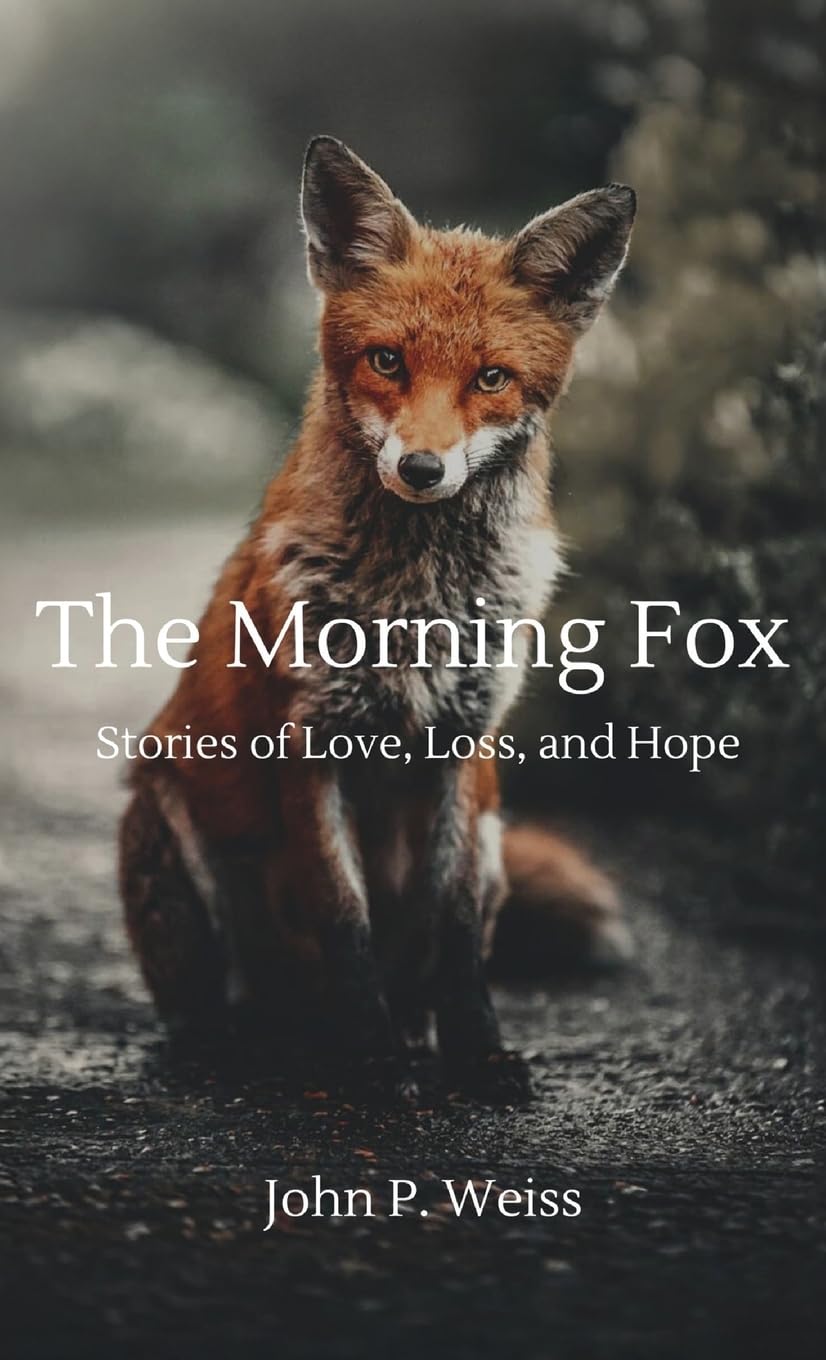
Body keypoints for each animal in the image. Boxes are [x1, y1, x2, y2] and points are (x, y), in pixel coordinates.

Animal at [119, 136, 635, 1101]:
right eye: (388, 361)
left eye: (491, 378)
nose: (423, 469)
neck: (416, 601)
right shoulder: (309, 744)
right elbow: (344, 919)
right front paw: (369, 1061)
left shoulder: (464, 749)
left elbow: (458, 934)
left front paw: (475, 1052)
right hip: (167, 817)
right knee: (213, 1004)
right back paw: (239, 1044)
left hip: (497, 835)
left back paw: (409, 1031)